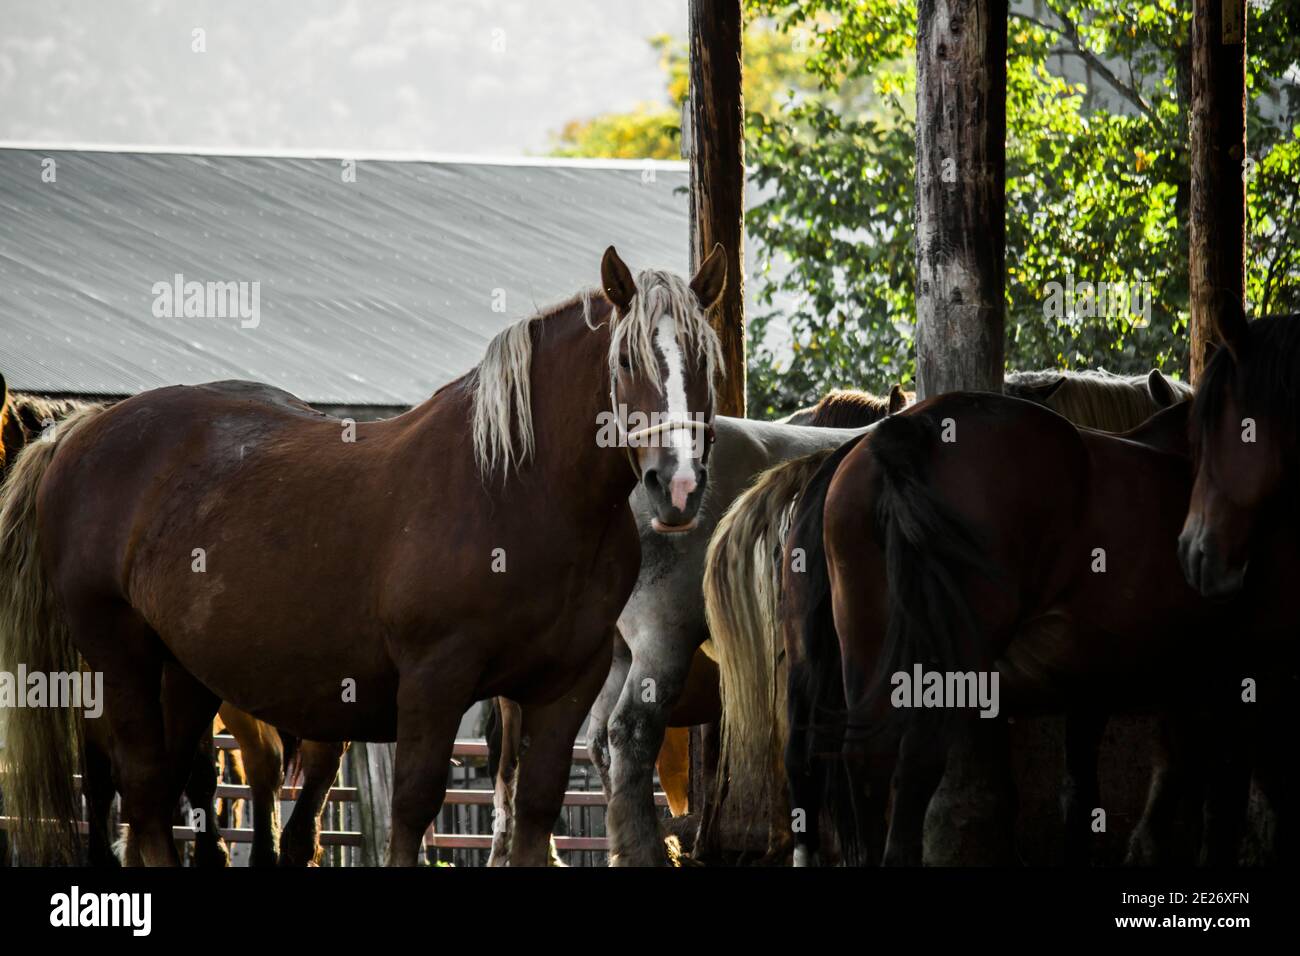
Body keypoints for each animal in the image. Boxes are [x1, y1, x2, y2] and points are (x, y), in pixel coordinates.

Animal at [0, 245, 727, 867]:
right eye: (628, 363)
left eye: (705, 363)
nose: (679, 484)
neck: (515, 490)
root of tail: (78, 433)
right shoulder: (435, 680)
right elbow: (413, 810)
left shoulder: (565, 687)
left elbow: (536, 812)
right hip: (120, 661)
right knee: (145, 796)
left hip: (182, 675)